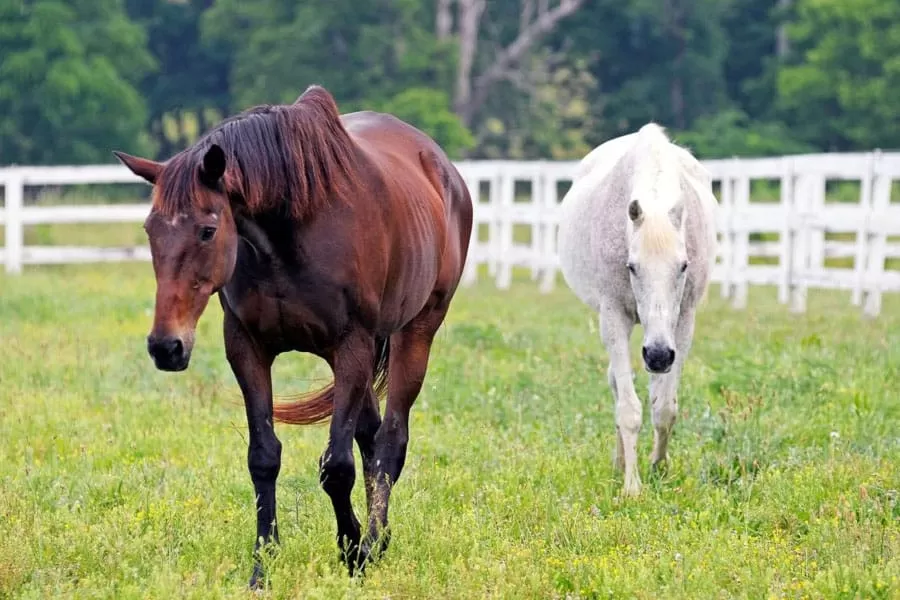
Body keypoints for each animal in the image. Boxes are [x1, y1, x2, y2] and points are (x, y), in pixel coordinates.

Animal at [114, 84, 472, 584]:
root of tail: (441, 167)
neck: (289, 232)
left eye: (207, 230)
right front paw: (263, 567)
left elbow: (336, 466)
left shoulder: (352, 346)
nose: (166, 346)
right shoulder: (247, 347)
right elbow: (264, 457)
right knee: (370, 437)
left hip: (415, 332)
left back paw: (375, 542)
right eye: (150, 230)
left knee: (390, 441)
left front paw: (353, 552)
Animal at [560, 123, 720, 496]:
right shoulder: (613, 317)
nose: (658, 356)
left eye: (684, 266)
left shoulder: (683, 324)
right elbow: (629, 409)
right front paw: (632, 487)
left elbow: (664, 407)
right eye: (632, 267)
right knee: (618, 386)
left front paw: (659, 468)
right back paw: (620, 464)